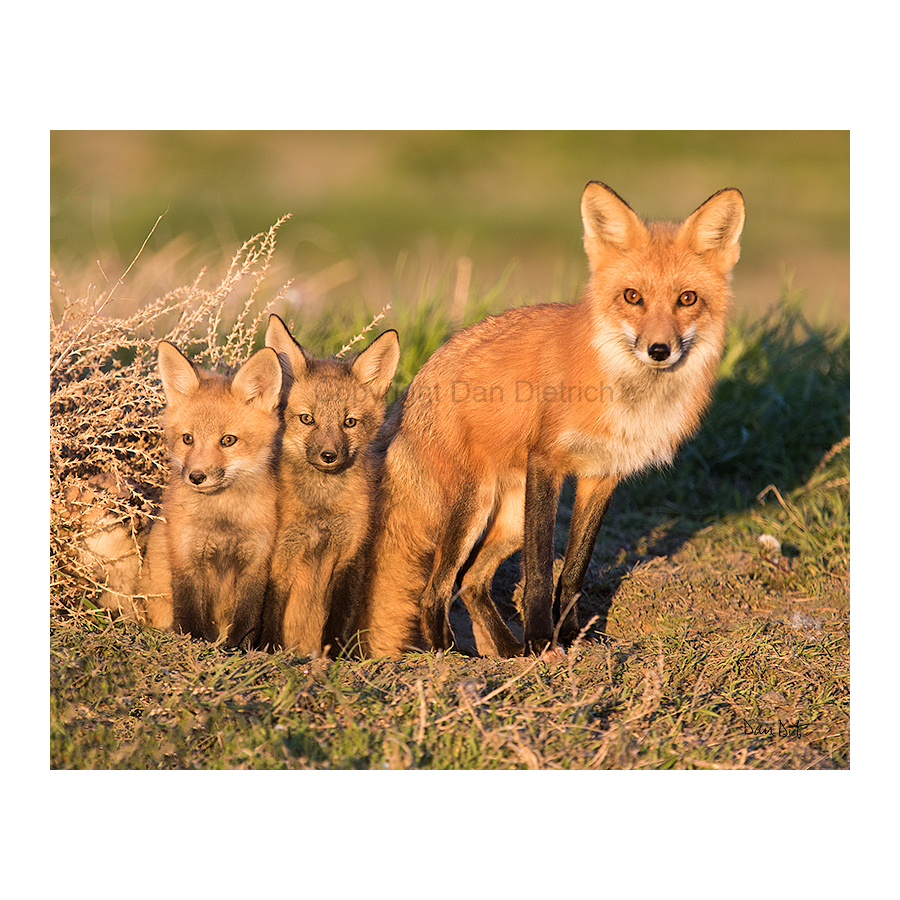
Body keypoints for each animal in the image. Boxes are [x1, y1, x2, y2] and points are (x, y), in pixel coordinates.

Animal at [139, 340, 283, 647]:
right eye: (187, 439)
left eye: (228, 440)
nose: (196, 476)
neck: (222, 520)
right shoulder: (185, 555)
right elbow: (189, 610)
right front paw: (192, 641)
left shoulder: (256, 560)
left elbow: (247, 617)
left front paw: (239, 649)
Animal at [259, 314, 400, 656]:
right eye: (307, 419)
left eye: (349, 422)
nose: (328, 455)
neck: (322, 510)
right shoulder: (282, 554)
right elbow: (271, 611)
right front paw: (268, 652)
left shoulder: (351, 551)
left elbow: (341, 615)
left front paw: (338, 657)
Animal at [358, 181, 744, 658]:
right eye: (632, 297)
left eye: (687, 299)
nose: (659, 350)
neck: (628, 398)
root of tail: (414, 389)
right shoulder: (547, 462)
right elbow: (542, 567)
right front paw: (542, 639)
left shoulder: (603, 475)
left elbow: (575, 568)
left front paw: (574, 634)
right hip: (475, 507)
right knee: (436, 588)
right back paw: (451, 654)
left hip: (508, 520)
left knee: (470, 583)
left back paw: (506, 652)